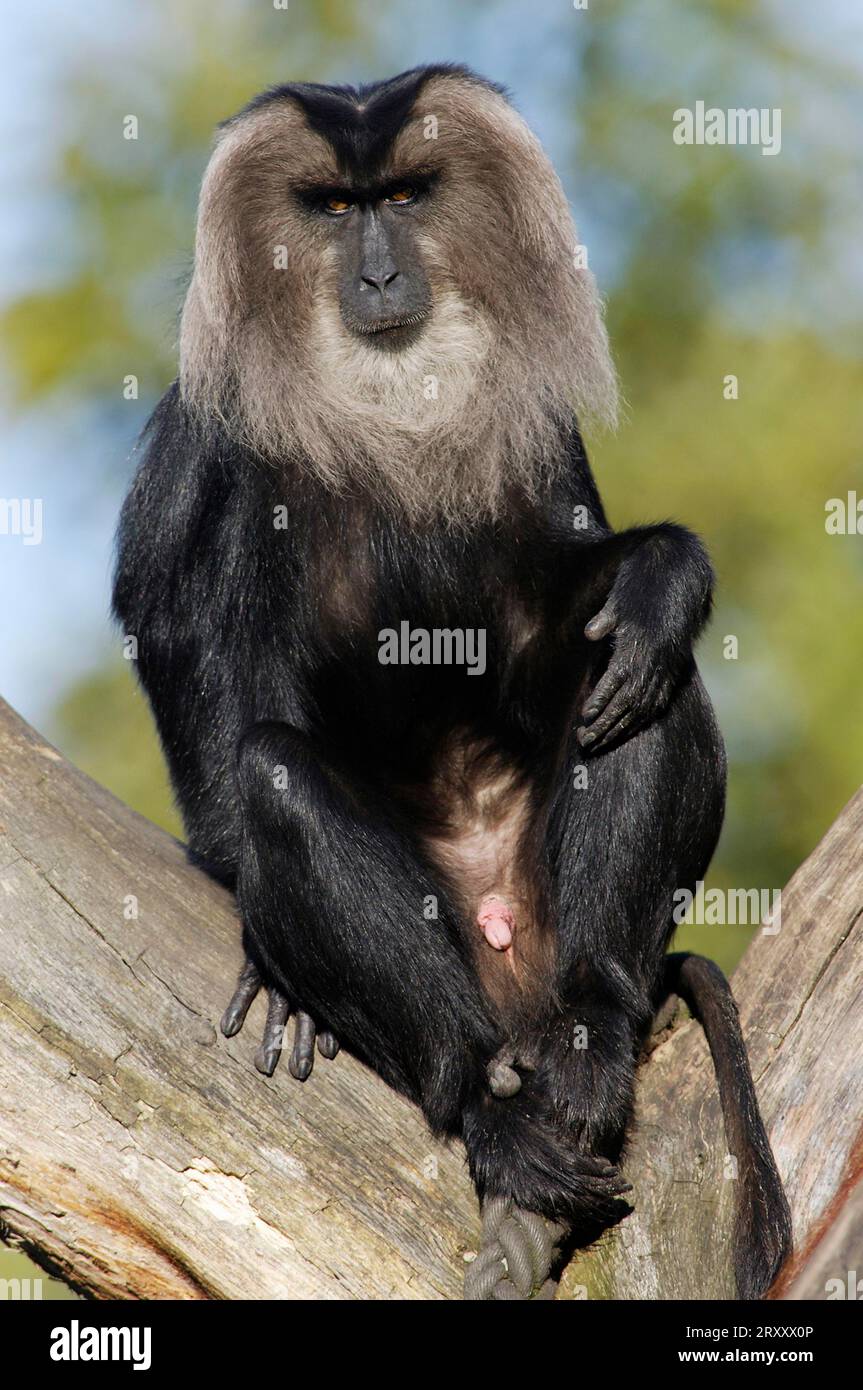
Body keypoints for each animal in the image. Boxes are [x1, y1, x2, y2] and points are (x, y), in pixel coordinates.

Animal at [113, 64, 791, 1299]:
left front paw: (663, 575)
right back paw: (493, 1112)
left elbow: (566, 612)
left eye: (405, 196)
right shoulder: (205, 452)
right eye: (334, 210)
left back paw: (590, 1038)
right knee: (274, 776)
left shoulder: (532, 443)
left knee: (643, 684)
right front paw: (278, 984)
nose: (380, 272)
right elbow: (210, 713)